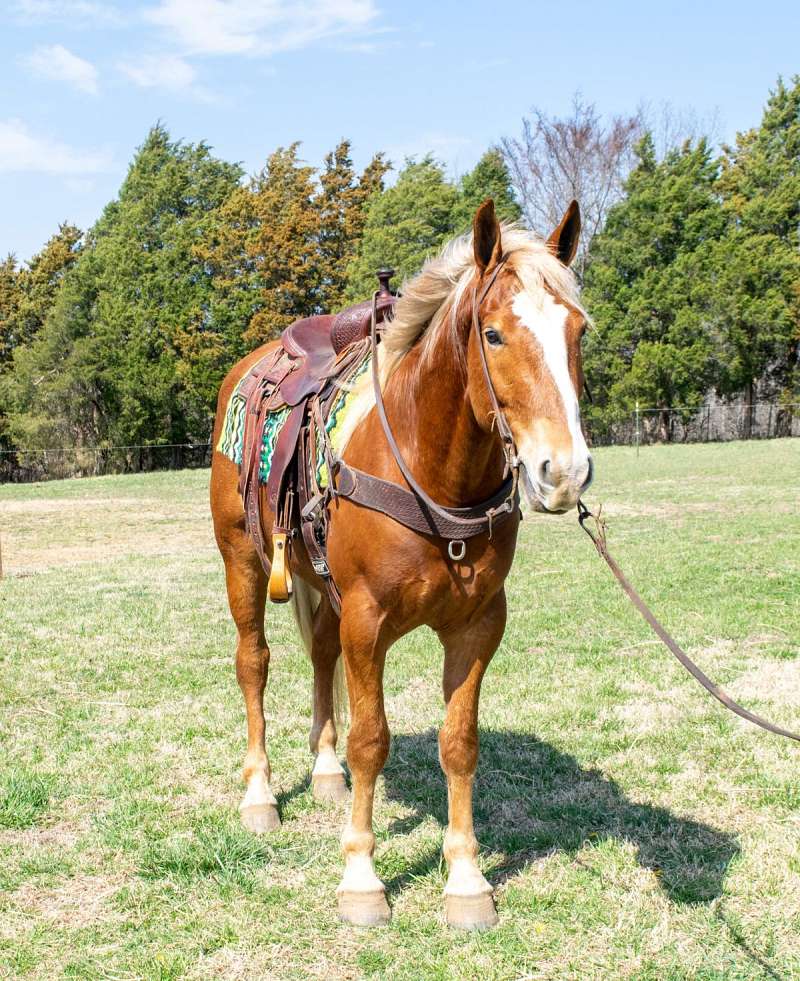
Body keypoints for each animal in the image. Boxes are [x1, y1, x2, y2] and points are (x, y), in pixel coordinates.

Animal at [209, 199, 593, 929]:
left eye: (579, 330)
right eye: (494, 335)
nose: (563, 471)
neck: (428, 468)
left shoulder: (478, 625)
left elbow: (459, 743)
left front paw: (466, 878)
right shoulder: (367, 621)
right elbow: (373, 739)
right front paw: (362, 877)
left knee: (319, 656)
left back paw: (325, 772)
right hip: (242, 558)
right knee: (253, 665)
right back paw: (260, 794)